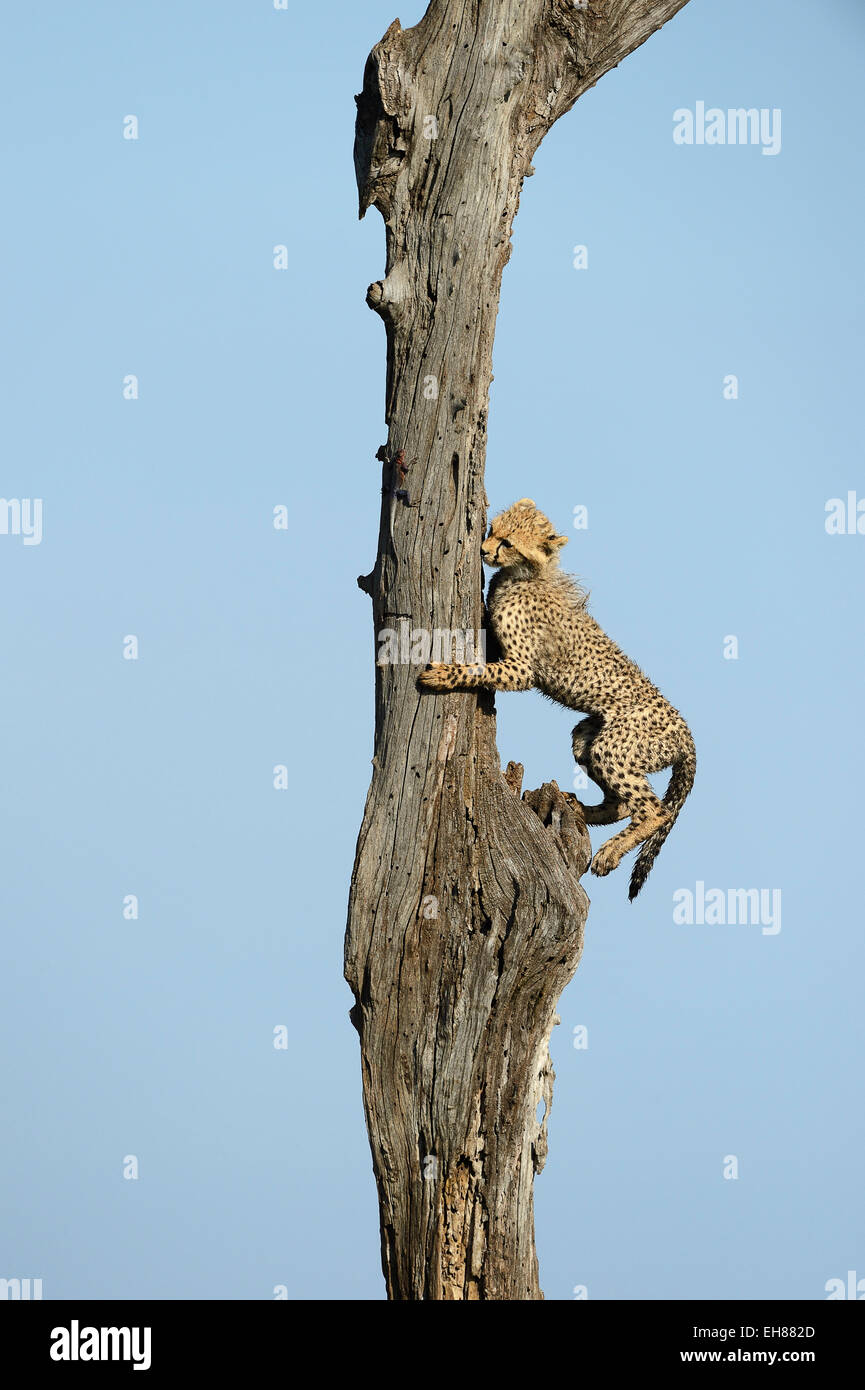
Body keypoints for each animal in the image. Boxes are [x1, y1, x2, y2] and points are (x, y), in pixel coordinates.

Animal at [417, 498, 696, 899]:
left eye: (508, 543)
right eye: (492, 531)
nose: (483, 551)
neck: (523, 576)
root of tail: (688, 736)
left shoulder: (521, 669)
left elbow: (476, 671)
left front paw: (441, 675)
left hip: (616, 746)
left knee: (654, 810)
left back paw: (609, 853)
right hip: (589, 737)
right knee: (622, 801)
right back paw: (580, 810)